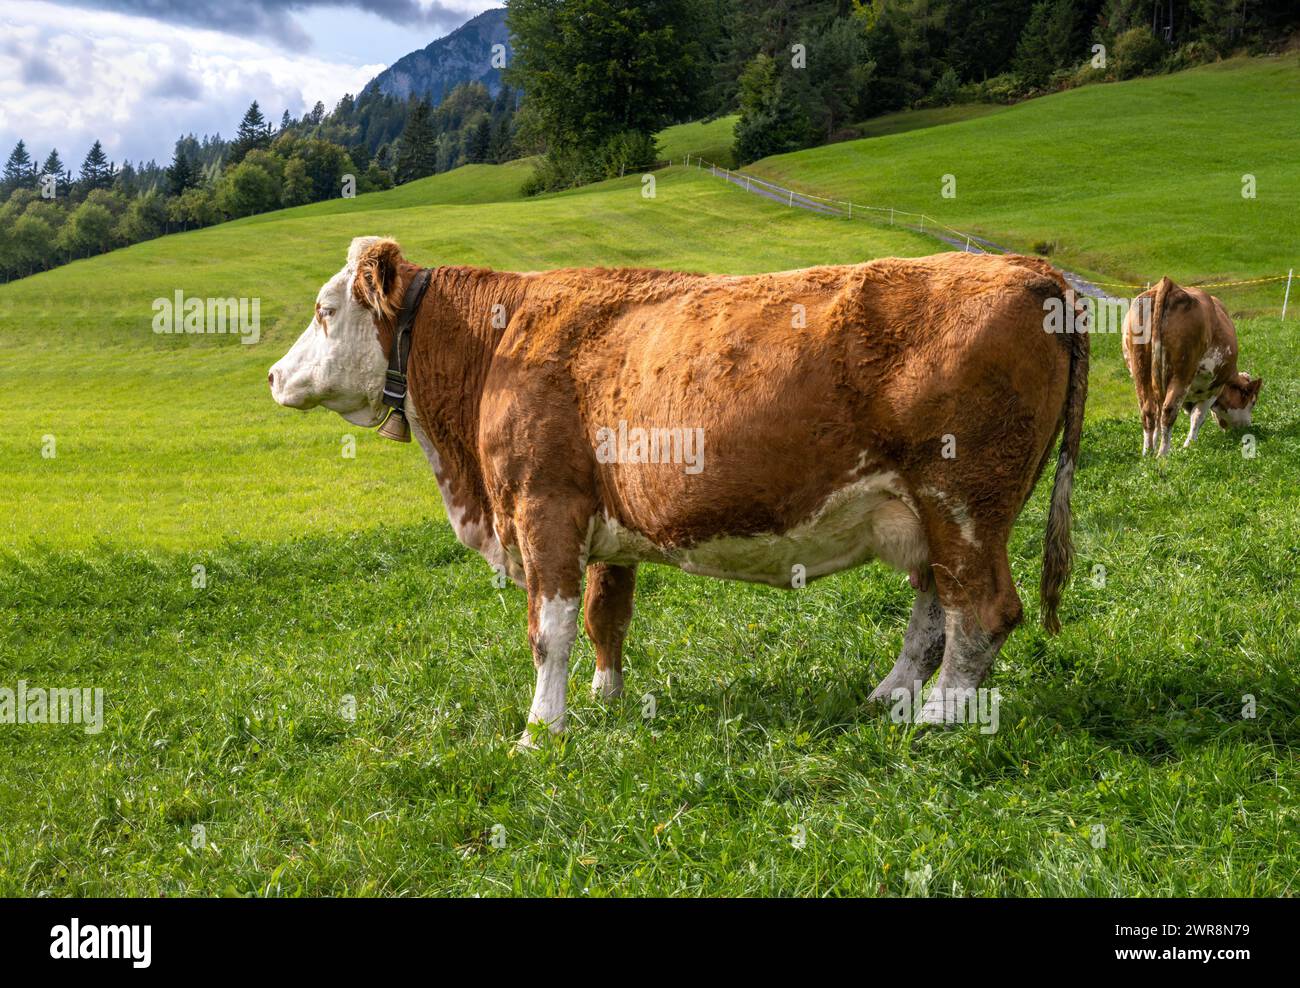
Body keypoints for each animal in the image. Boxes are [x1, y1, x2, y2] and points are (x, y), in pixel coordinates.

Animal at [269, 238, 1088, 745]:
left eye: (324, 310)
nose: (274, 375)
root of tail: (1032, 272)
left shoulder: (542, 508)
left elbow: (549, 630)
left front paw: (540, 731)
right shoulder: (601, 524)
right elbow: (604, 617)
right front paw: (604, 699)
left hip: (964, 500)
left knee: (982, 610)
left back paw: (937, 720)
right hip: (923, 515)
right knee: (935, 612)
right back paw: (888, 698)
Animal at [1122, 276, 1262, 456]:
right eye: (1253, 402)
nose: (1247, 427)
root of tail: (1169, 284)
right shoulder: (1214, 389)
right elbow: (1198, 417)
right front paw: (1189, 445)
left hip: (1141, 373)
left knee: (1148, 411)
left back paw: (1148, 454)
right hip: (1182, 374)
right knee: (1168, 411)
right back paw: (1163, 454)